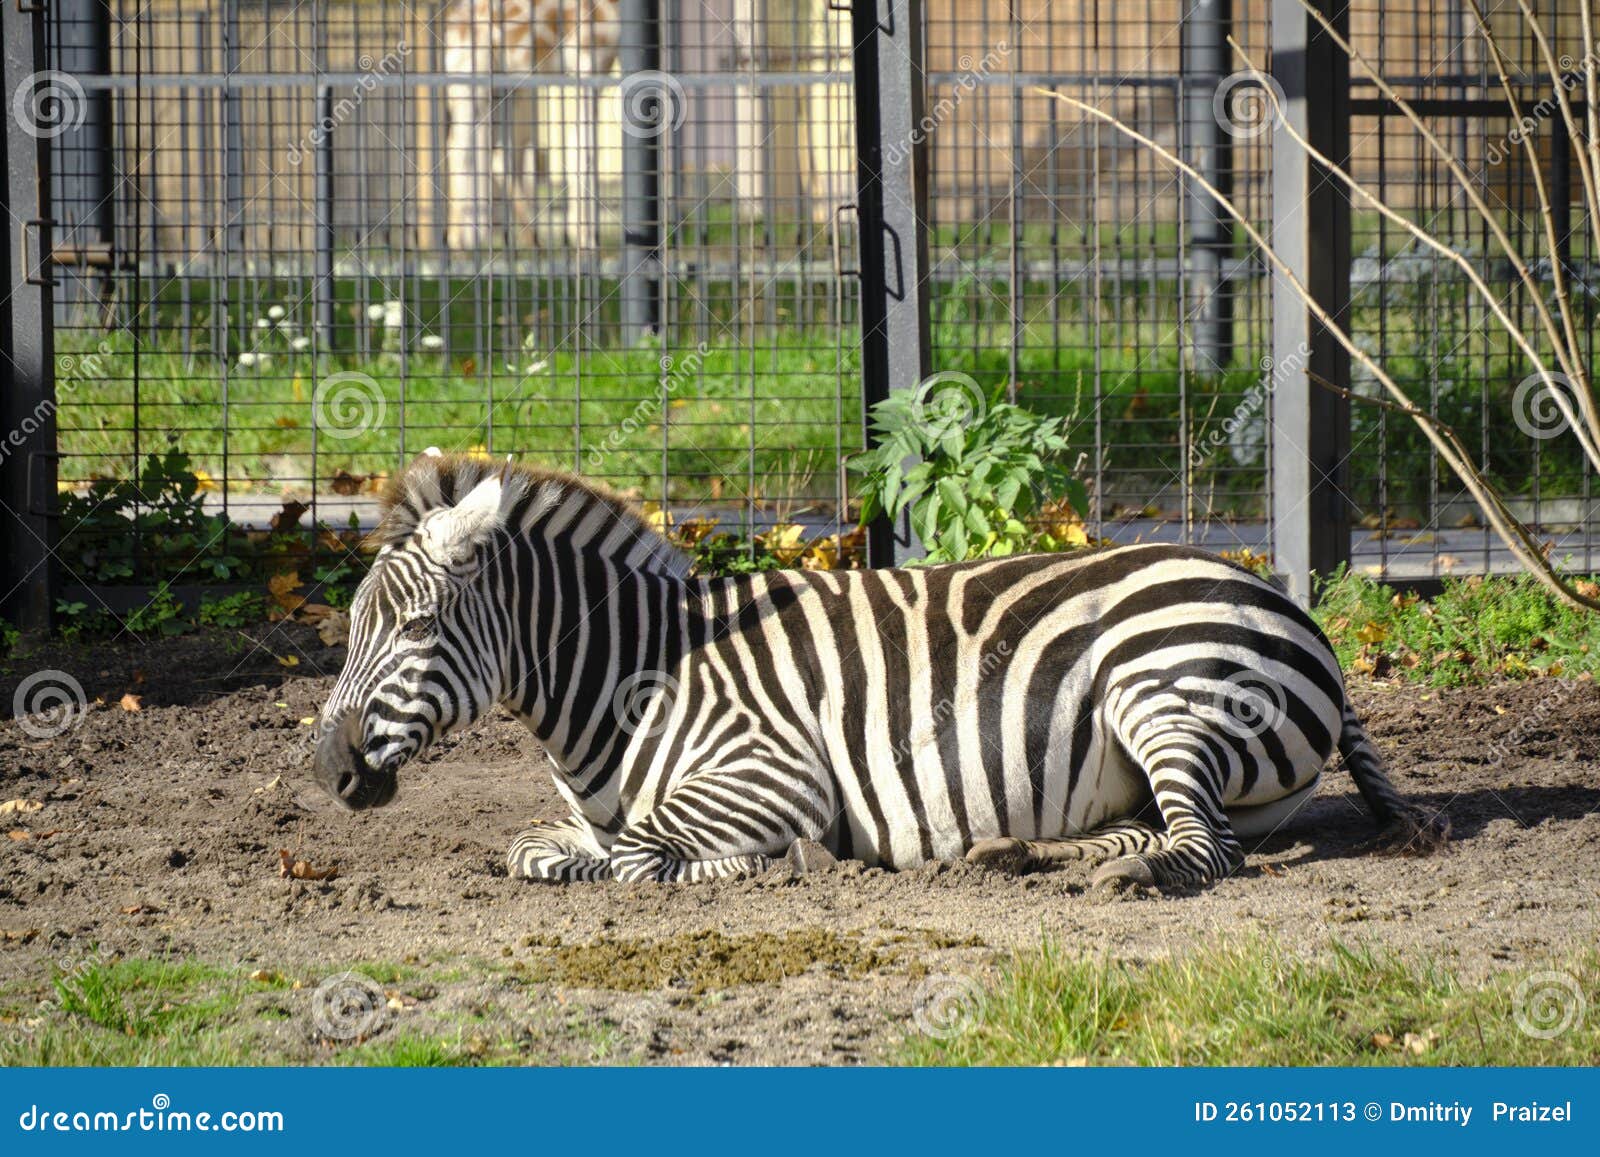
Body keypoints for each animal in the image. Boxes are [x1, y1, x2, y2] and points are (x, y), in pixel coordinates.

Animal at [312, 452, 1448, 888]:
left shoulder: (772, 774)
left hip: (1159, 686)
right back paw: (1025, 851)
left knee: (1207, 846)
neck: (633, 675)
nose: (327, 771)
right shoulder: (579, 818)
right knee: (1174, 825)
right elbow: (534, 851)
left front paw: (781, 863)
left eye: (415, 626)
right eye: (353, 625)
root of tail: (1282, 597)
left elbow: (639, 857)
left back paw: (1117, 873)